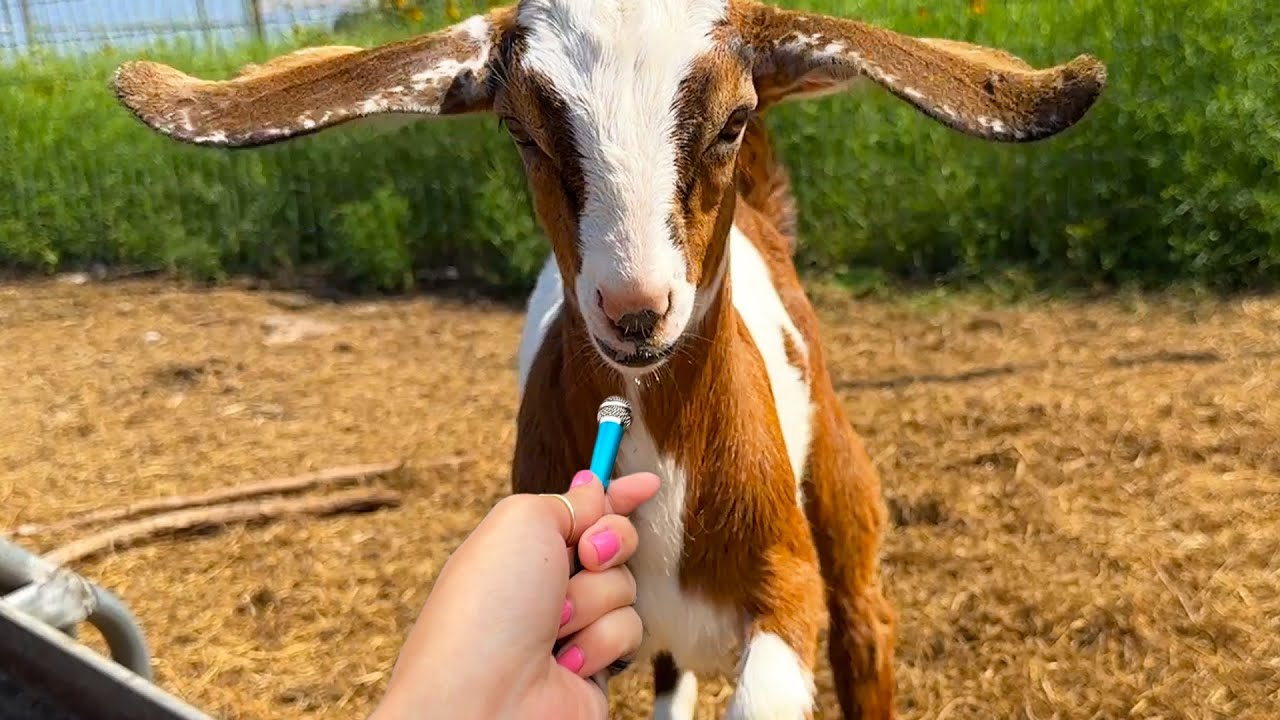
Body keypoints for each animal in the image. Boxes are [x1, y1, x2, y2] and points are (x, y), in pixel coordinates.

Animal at [112, 2, 1105, 717]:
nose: (635, 311)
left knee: (865, 622)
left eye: (732, 120)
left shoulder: (782, 585)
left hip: (838, 478)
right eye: (522, 132)